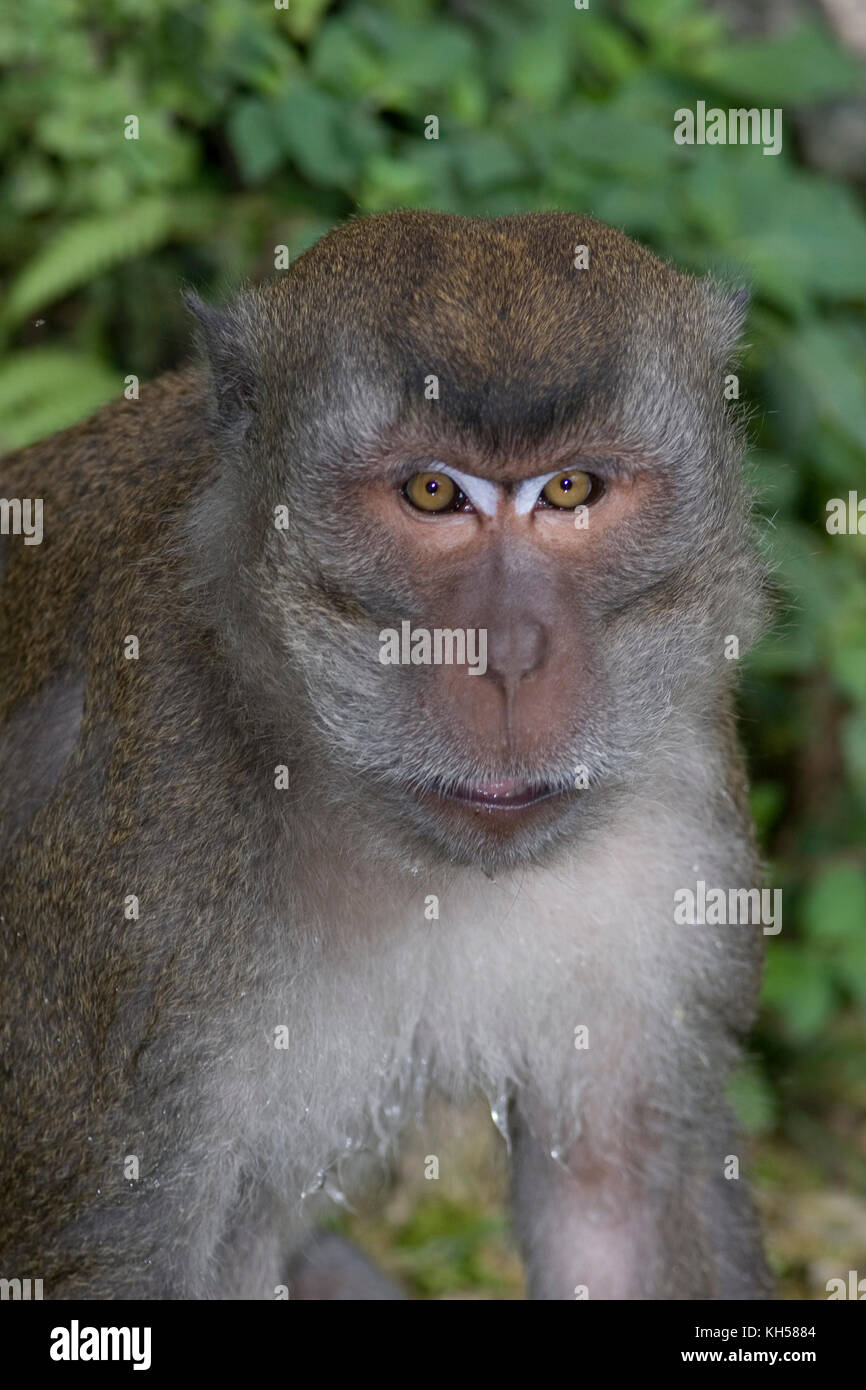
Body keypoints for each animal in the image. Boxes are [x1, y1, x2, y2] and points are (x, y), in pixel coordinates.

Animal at [0, 210, 774, 1300]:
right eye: (432, 491)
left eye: (570, 487)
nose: (508, 654)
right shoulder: (138, 854)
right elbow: (114, 1250)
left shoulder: (677, 778)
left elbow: (619, 1194)